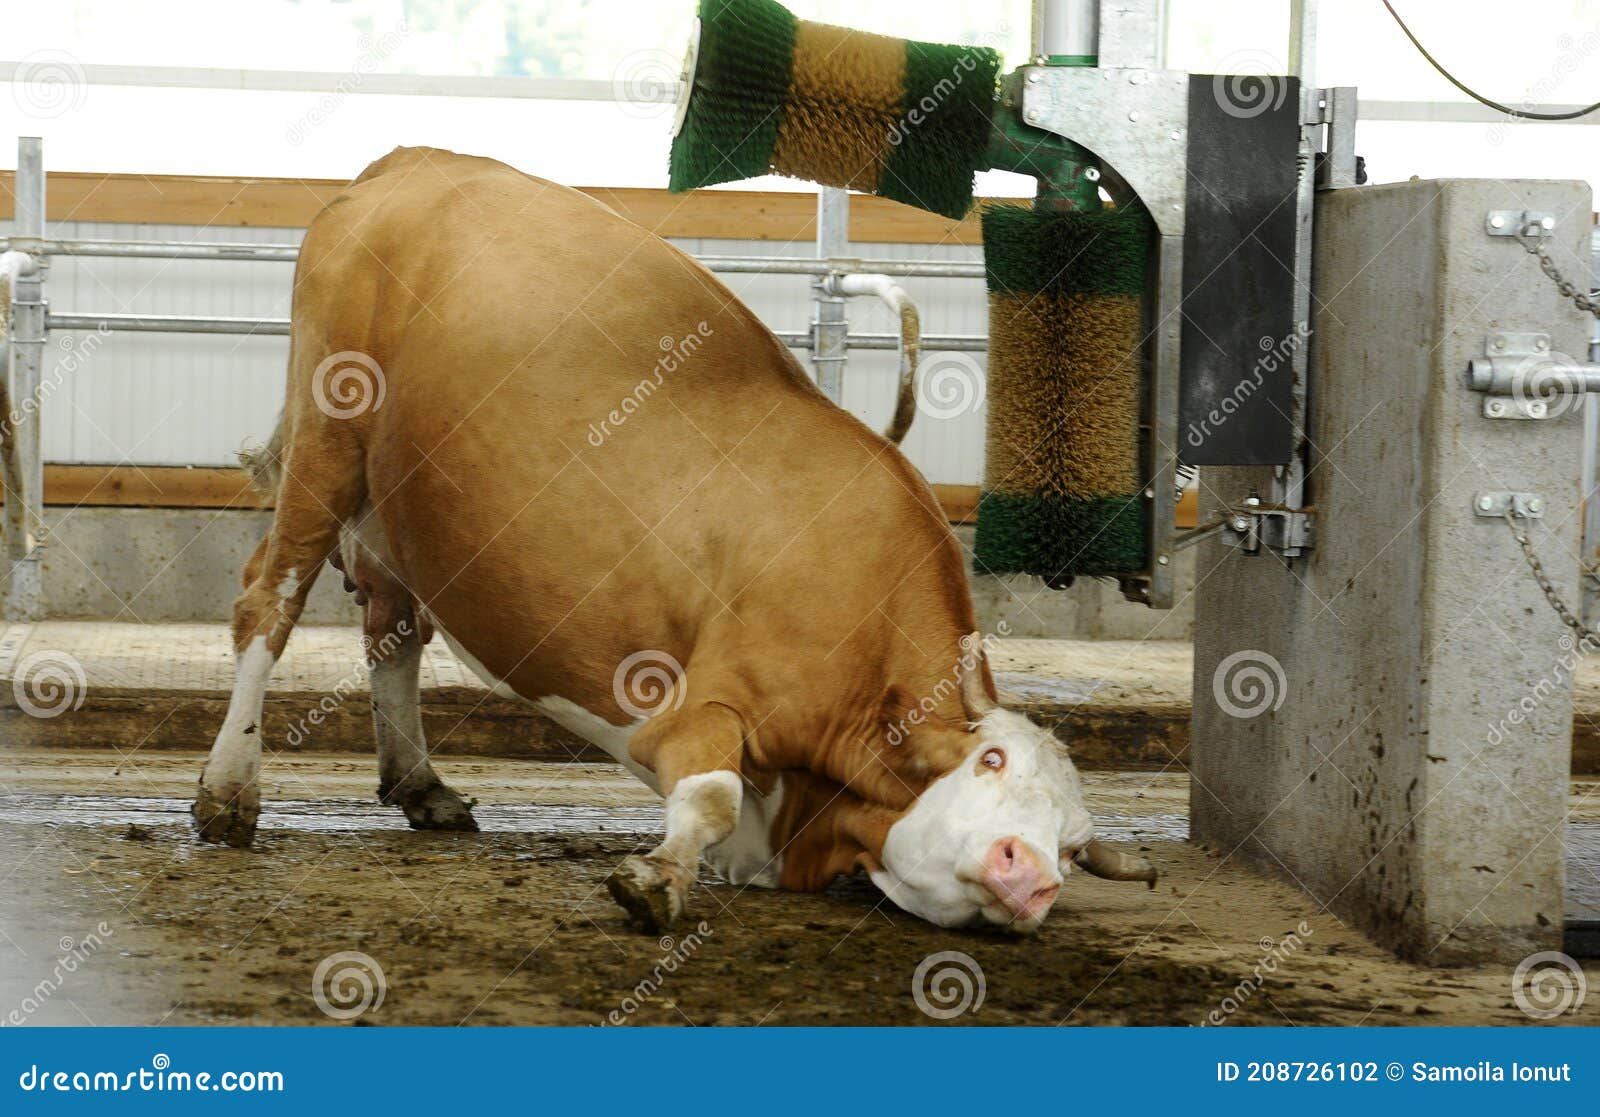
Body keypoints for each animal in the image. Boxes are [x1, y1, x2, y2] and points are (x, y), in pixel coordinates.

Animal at [192, 147, 1156, 933]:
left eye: (1073, 845)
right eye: (989, 759)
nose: (1027, 873)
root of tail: (407, 165)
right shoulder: (691, 708)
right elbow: (714, 793)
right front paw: (653, 879)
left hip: (396, 501)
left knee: (392, 625)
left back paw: (419, 784)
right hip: (330, 432)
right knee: (268, 600)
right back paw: (229, 790)